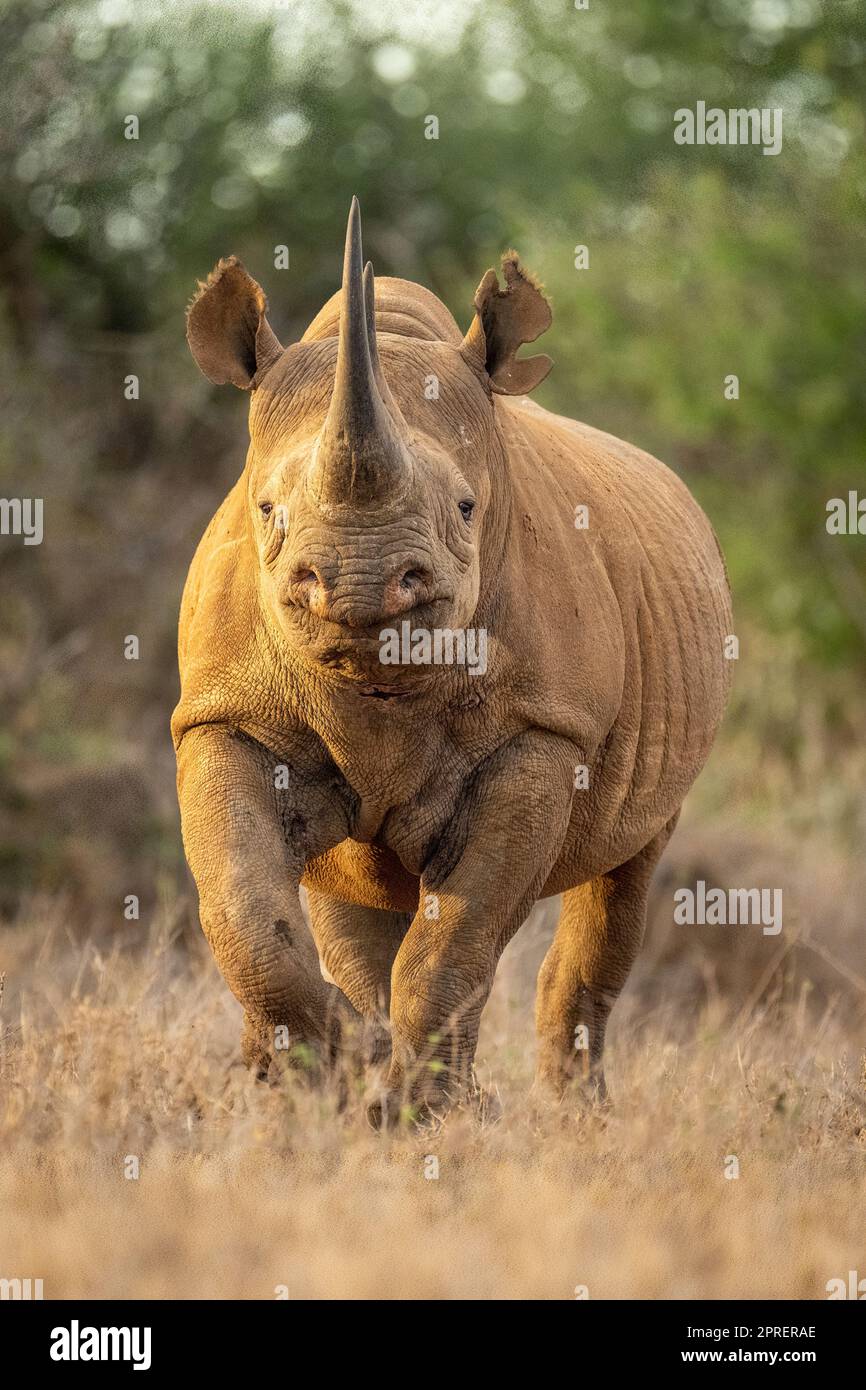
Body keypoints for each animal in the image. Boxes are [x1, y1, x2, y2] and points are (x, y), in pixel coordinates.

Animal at [174, 198, 731, 1122]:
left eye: (467, 509)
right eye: (266, 510)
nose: (360, 583)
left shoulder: (542, 733)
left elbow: (457, 941)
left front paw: (418, 1114)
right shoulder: (227, 714)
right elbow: (245, 908)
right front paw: (326, 1078)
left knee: (624, 870)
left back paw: (567, 1115)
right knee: (347, 895)